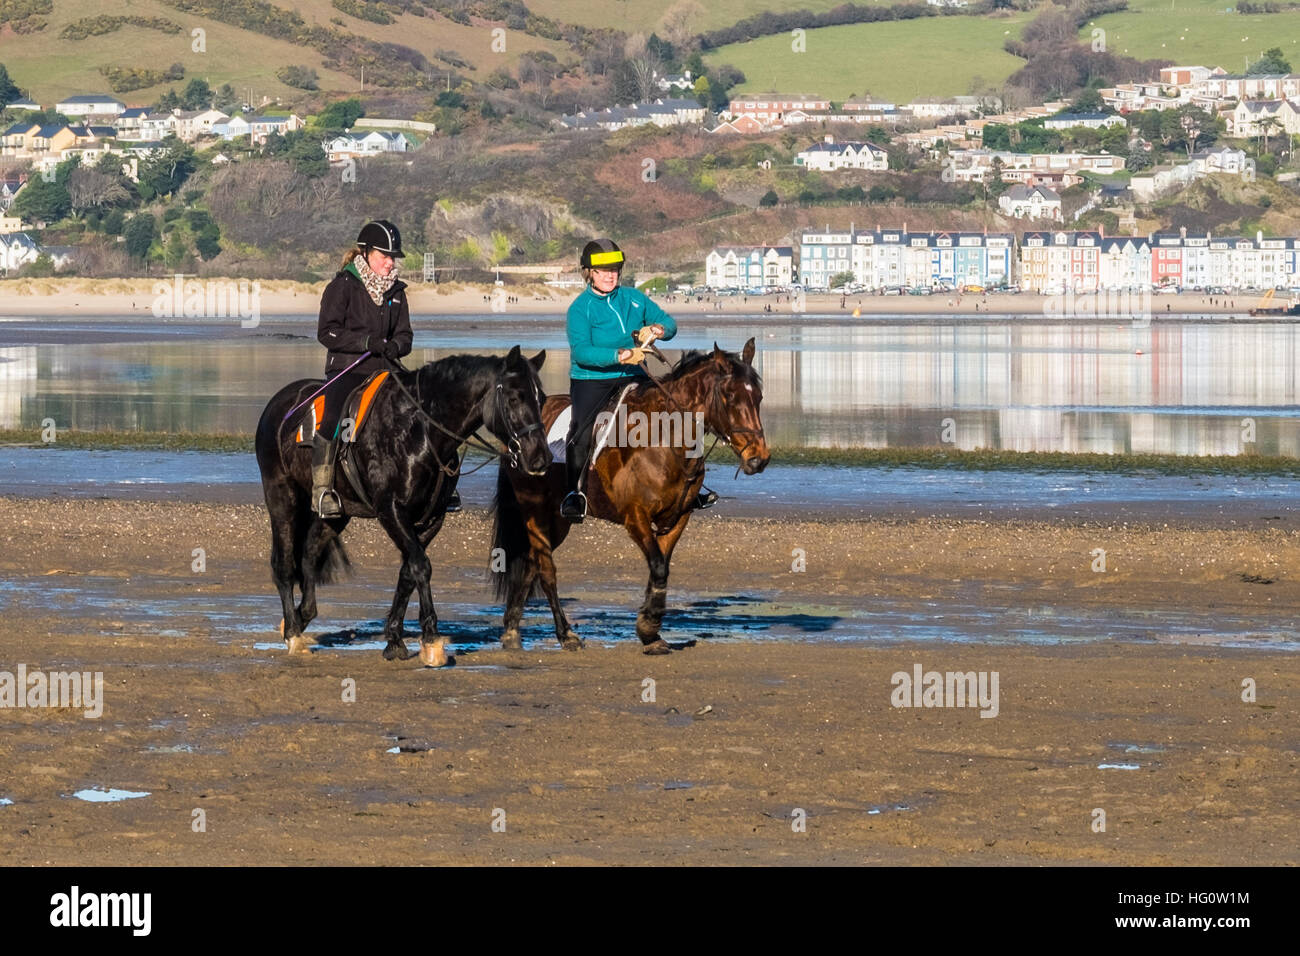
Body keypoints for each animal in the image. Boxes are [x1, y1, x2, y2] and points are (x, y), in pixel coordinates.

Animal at [254, 346, 551, 667]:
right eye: (514, 397)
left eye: (542, 398)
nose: (540, 458)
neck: (418, 431)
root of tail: (280, 403)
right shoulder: (392, 511)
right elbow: (421, 566)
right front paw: (431, 641)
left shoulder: (430, 518)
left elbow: (408, 572)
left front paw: (395, 639)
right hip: (281, 495)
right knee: (284, 564)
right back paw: (294, 634)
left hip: (336, 513)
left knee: (309, 554)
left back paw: (300, 617)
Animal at [490, 339, 770, 655]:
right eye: (729, 396)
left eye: (758, 396)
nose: (759, 458)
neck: (664, 438)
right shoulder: (635, 517)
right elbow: (658, 567)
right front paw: (649, 627)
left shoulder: (677, 519)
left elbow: (660, 567)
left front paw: (650, 630)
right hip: (534, 509)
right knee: (546, 569)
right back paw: (565, 635)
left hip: (558, 520)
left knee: (532, 563)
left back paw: (512, 629)